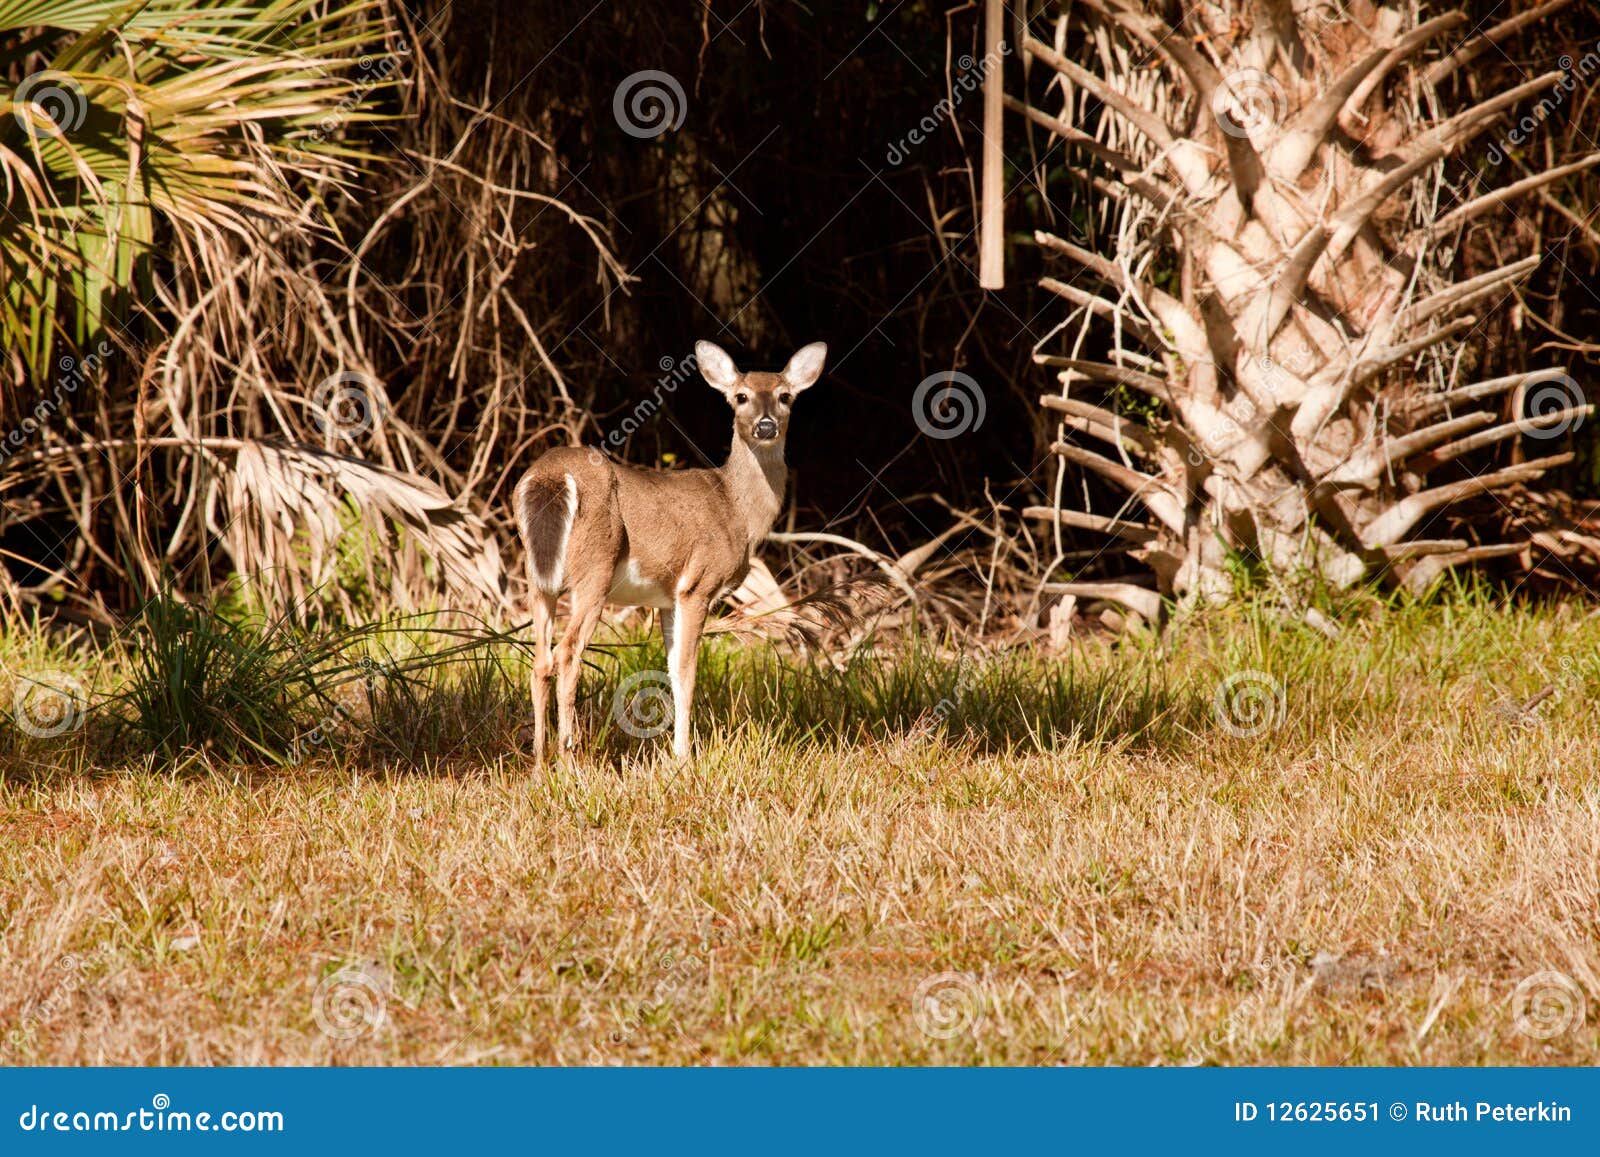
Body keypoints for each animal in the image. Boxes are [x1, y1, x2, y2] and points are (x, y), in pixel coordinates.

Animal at [513, 340, 827, 762]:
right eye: (741, 396)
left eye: (785, 396)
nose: (765, 426)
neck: (737, 509)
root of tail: (548, 476)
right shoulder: (699, 583)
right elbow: (688, 671)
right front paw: (684, 757)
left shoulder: (666, 596)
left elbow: (672, 669)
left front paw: (675, 752)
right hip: (595, 566)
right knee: (566, 653)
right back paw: (568, 760)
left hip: (538, 576)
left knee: (540, 660)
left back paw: (538, 763)